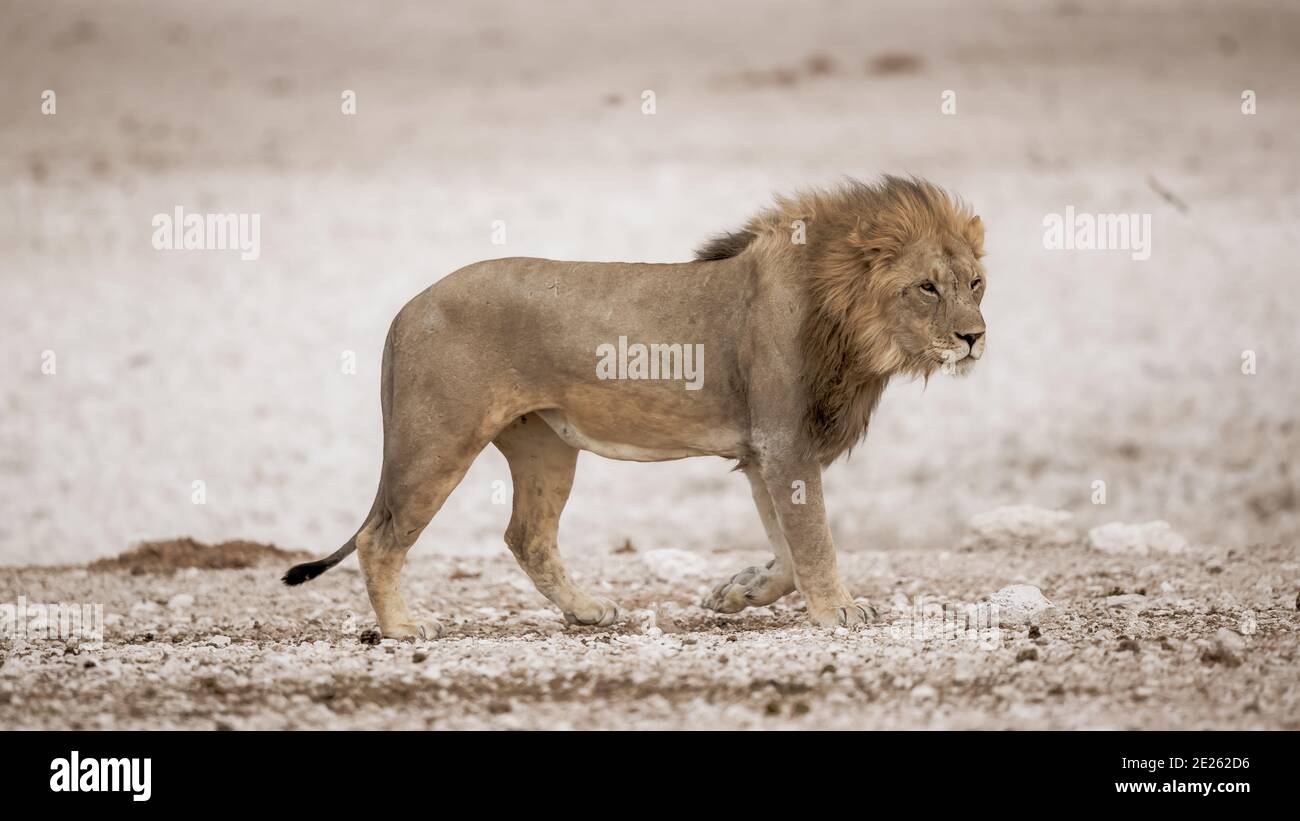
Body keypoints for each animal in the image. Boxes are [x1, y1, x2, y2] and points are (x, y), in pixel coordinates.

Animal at [283, 175, 987, 638]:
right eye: (926, 287)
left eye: (975, 283)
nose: (974, 336)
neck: (848, 318)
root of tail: (407, 309)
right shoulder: (784, 442)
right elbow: (813, 538)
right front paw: (838, 609)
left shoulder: (765, 452)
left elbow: (787, 547)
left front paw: (737, 592)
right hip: (438, 439)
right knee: (380, 537)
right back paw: (403, 628)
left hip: (544, 446)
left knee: (527, 535)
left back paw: (588, 611)